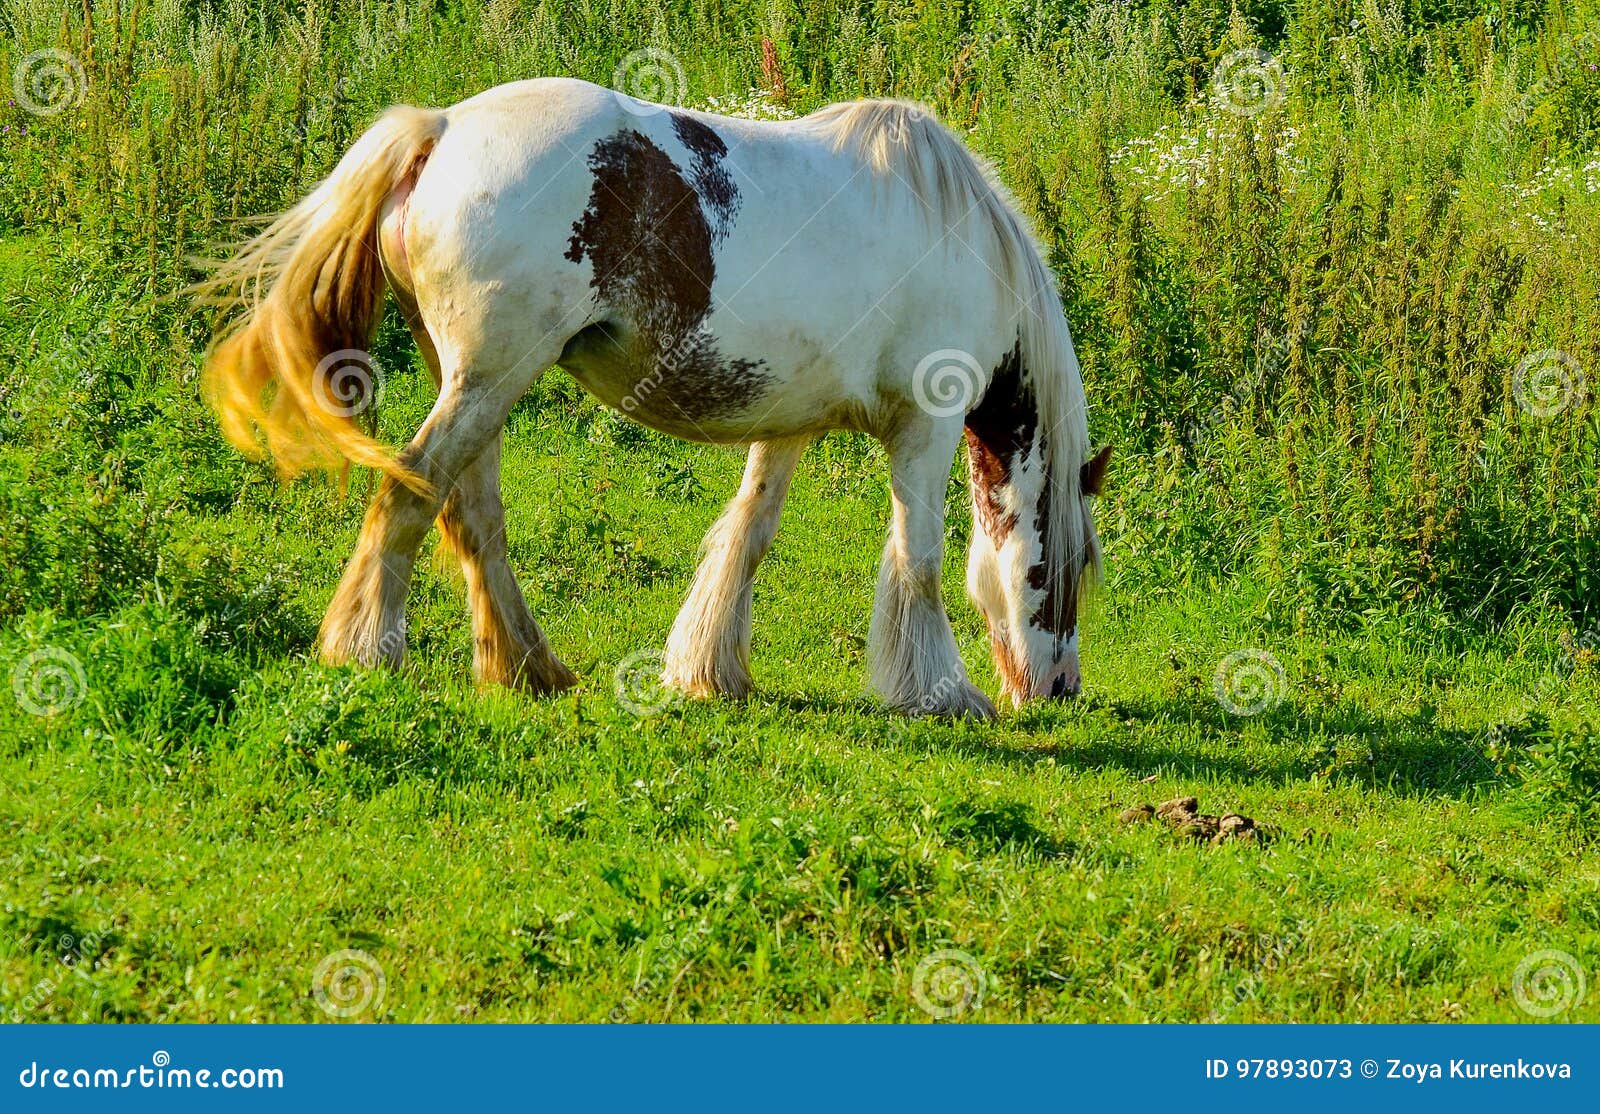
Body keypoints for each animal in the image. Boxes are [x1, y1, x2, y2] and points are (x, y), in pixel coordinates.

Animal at [196, 77, 1111, 718]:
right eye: (1060, 571)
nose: (1059, 687)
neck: (959, 240)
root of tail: (443, 128)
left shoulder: (788, 424)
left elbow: (748, 535)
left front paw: (711, 670)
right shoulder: (925, 426)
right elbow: (917, 561)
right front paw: (939, 692)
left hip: (475, 383)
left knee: (472, 516)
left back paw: (527, 667)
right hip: (491, 378)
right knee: (410, 494)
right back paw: (365, 649)